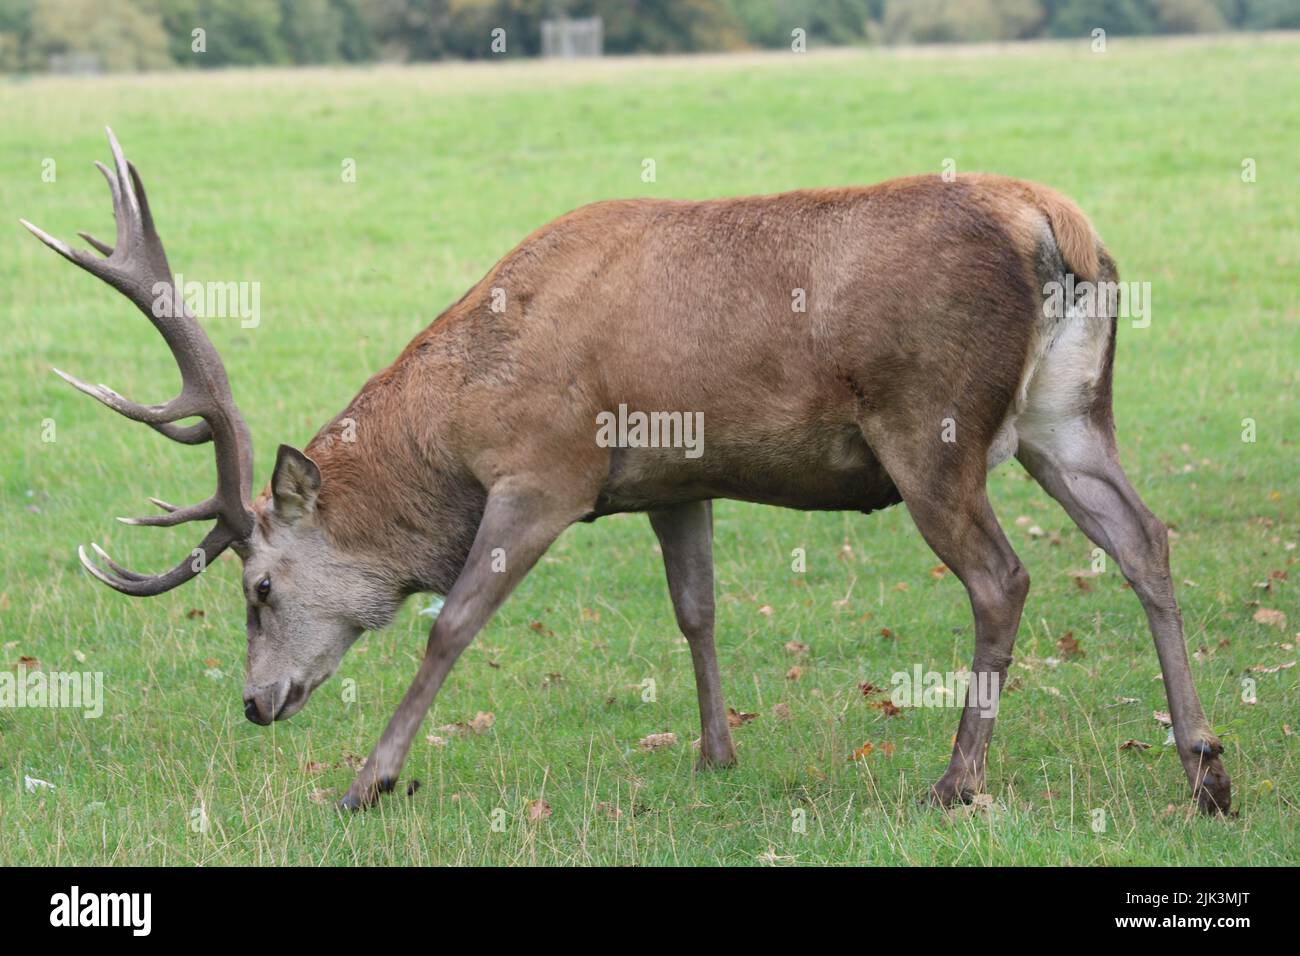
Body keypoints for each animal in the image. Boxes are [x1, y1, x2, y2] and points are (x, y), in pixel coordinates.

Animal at [23, 129, 1231, 815]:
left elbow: (451, 625)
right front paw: (715, 754)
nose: (256, 702)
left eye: (260, 586)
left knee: (1002, 576)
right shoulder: (672, 480)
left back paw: (957, 780)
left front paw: (368, 779)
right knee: (1145, 537)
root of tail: (1058, 226)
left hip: (929, 423)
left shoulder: (549, 470)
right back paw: (1203, 764)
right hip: (1065, 414)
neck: (468, 410)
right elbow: (696, 607)